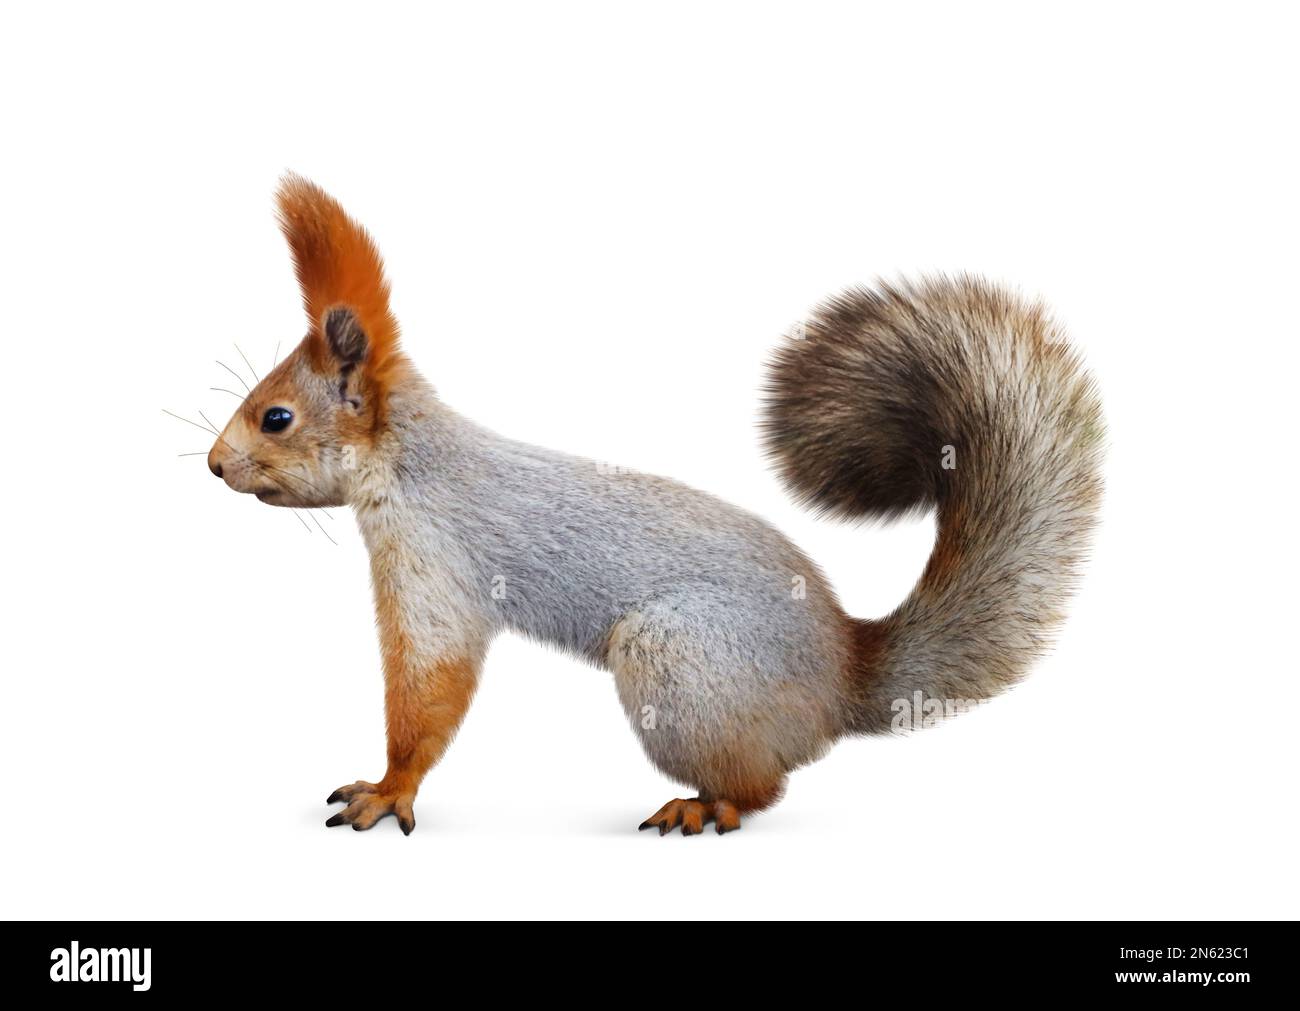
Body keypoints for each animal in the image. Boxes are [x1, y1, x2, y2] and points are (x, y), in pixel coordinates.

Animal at [206, 174, 1104, 836]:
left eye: (276, 417)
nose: (214, 465)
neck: (412, 460)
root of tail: (844, 675)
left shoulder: (434, 559)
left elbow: (428, 688)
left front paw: (389, 788)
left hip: (676, 660)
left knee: (763, 788)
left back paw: (705, 805)